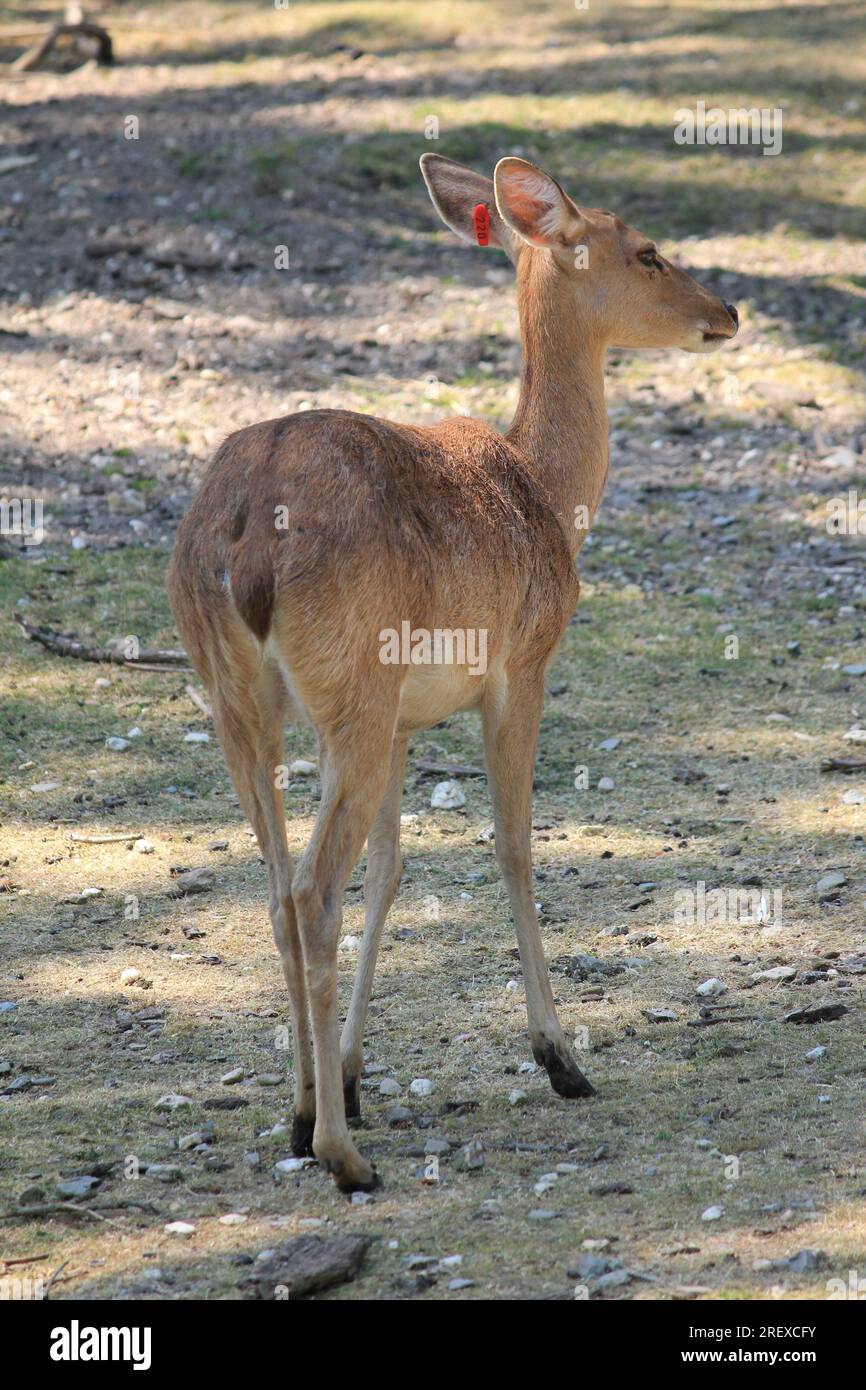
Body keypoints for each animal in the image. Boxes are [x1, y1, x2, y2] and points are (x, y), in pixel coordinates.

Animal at [168, 154, 738, 1193]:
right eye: (647, 250)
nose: (728, 308)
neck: (548, 493)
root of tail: (246, 543)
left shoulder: (402, 720)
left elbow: (392, 870)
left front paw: (354, 1073)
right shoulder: (521, 664)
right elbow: (513, 846)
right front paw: (561, 1058)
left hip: (240, 696)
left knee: (276, 888)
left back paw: (302, 1114)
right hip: (349, 684)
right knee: (310, 891)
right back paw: (344, 1156)